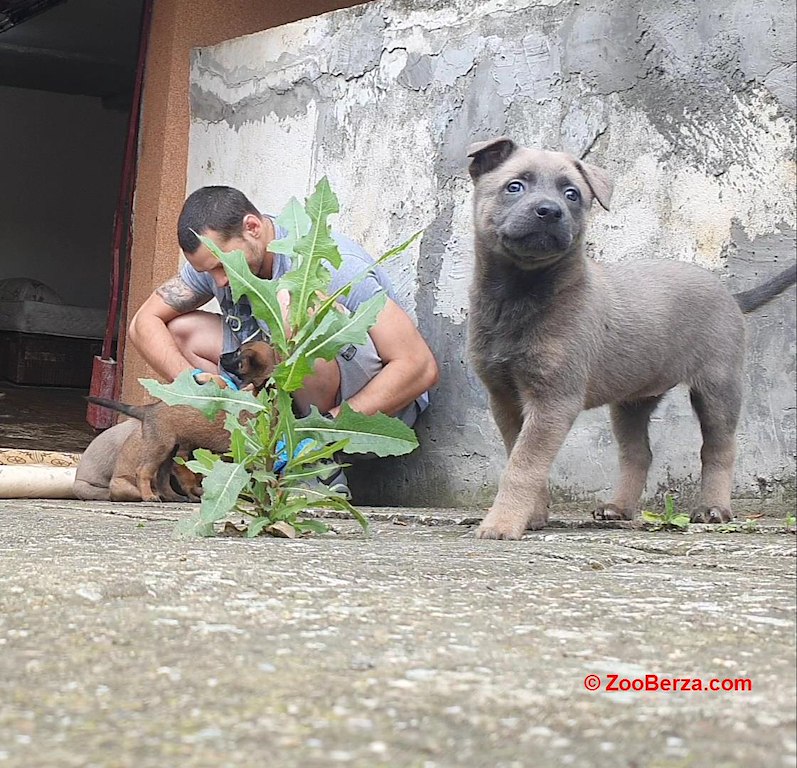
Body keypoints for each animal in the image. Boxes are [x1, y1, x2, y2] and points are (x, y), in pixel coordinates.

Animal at [78, 342, 276, 504]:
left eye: (237, 353)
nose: (220, 357)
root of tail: (149, 409)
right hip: (160, 447)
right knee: (143, 471)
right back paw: (149, 496)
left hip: (170, 452)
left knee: (162, 479)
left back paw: (174, 496)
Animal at [466, 136, 796, 540]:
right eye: (514, 186)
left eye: (572, 194)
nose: (550, 211)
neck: (519, 296)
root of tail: (730, 295)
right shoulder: (505, 397)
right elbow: (520, 456)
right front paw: (532, 516)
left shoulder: (553, 399)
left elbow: (523, 466)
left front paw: (502, 523)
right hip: (633, 401)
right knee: (639, 452)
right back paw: (620, 507)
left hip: (718, 386)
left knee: (719, 448)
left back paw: (714, 509)